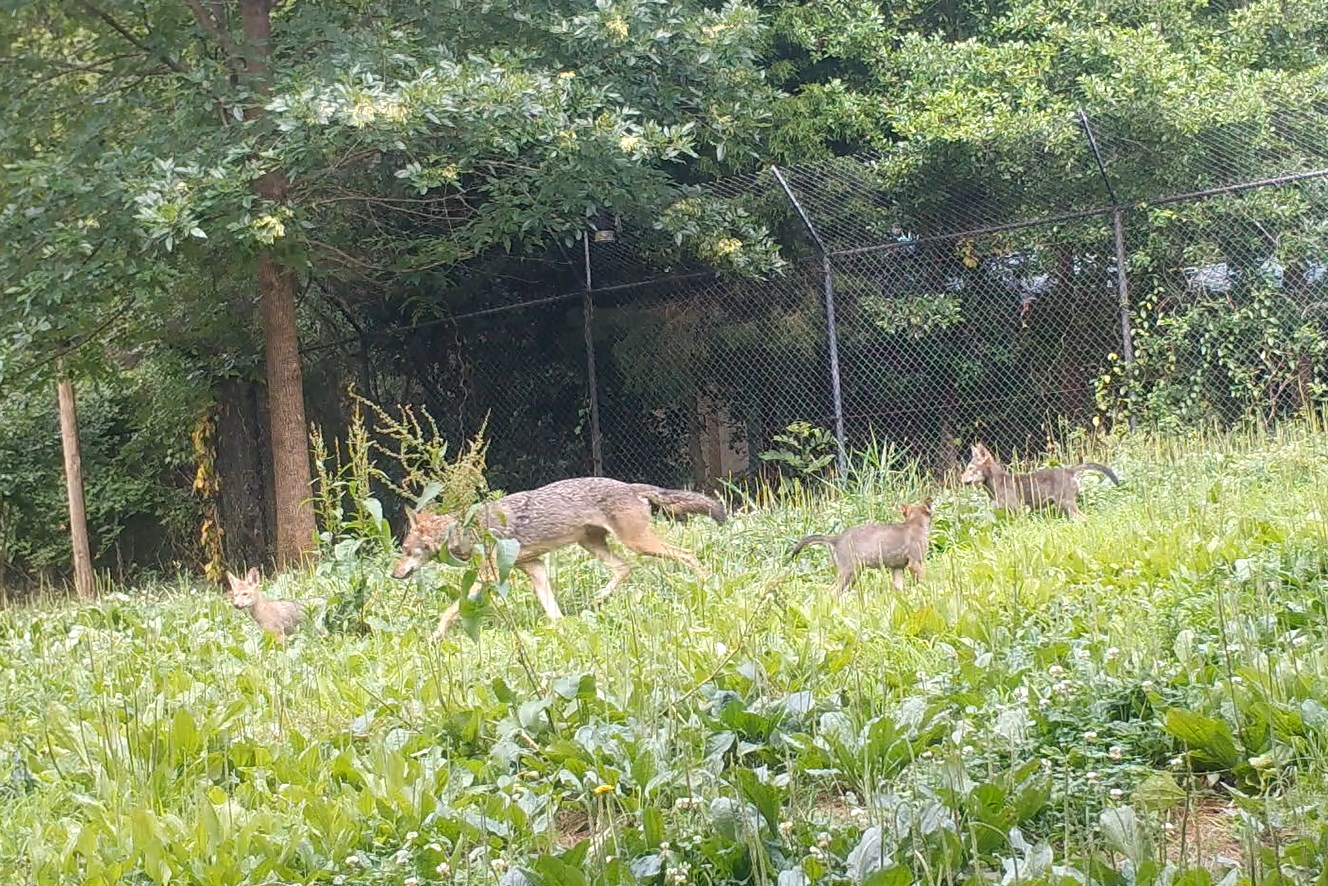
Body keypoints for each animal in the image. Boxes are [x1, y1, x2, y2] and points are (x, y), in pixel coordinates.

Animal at [391, 477, 727, 639]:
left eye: (406, 551)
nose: (394, 574)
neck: (464, 531)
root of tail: (630, 486)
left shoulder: (488, 576)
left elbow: (451, 610)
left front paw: (435, 635)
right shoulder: (535, 567)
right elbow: (552, 611)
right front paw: (562, 628)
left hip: (637, 544)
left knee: (687, 554)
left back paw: (706, 585)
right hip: (593, 544)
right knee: (624, 568)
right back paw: (599, 598)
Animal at [792, 499, 933, 595]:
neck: (915, 523)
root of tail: (836, 538)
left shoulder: (897, 567)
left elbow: (899, 587)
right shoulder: (915, 562)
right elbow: (922, 580)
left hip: (853, 574)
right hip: (849, 571)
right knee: (832, 591)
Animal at [959, 442, 1120, 518]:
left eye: (971, 468)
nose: (960, 480)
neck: (994, 484)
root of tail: (1069, 470)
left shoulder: (1019, 511)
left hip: (1066, 503)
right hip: (1065, 506)